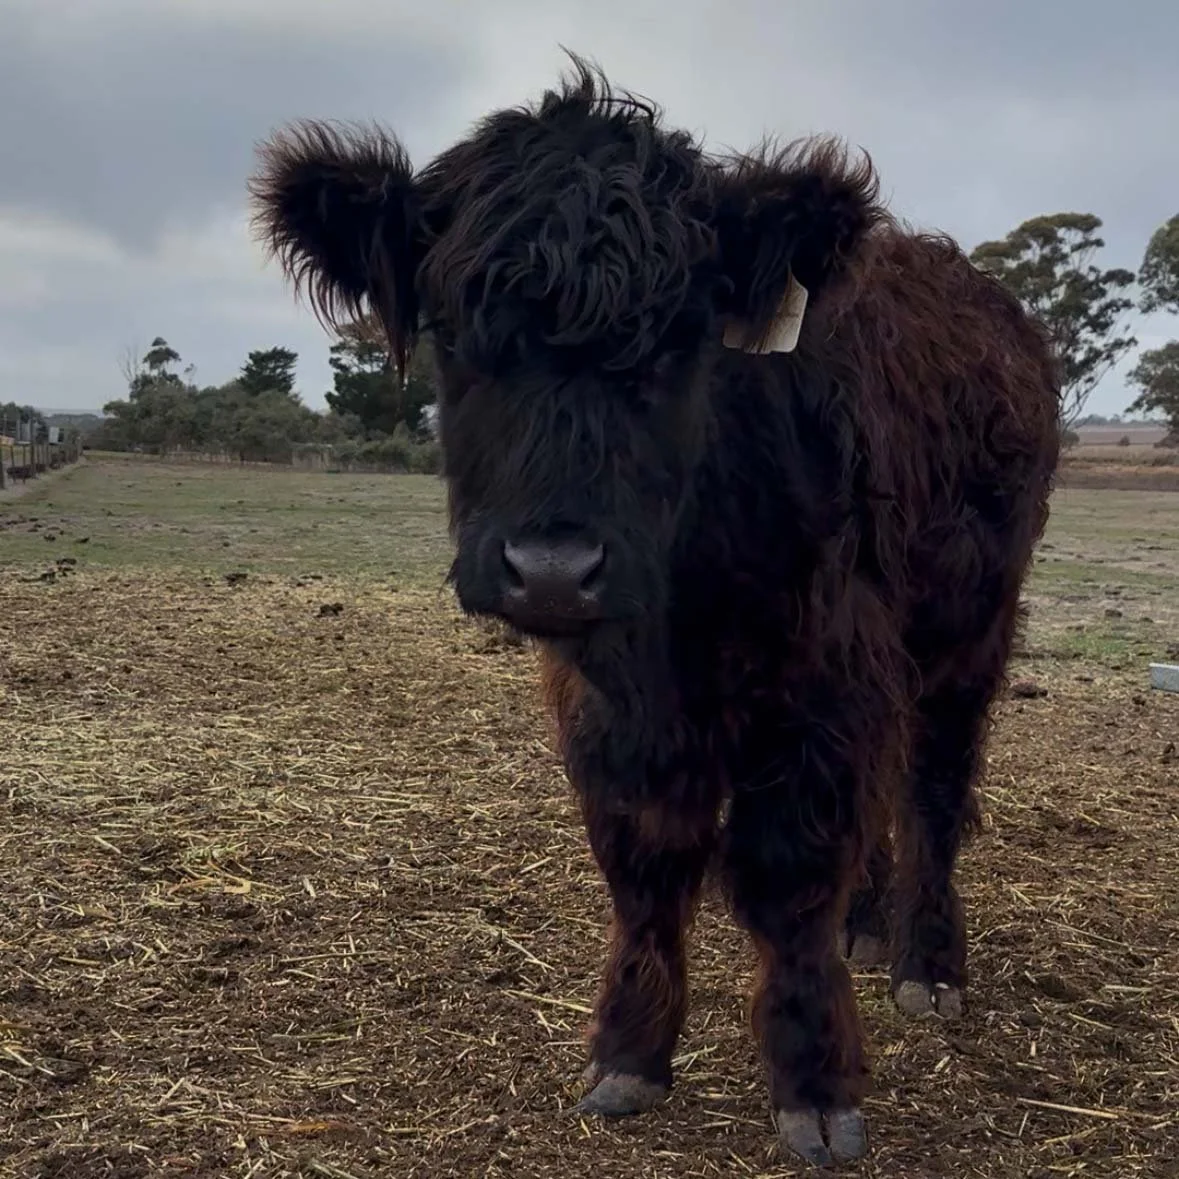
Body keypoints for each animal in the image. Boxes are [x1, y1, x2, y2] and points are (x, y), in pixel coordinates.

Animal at [248, 58, 1061, 1167]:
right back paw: (867, 923)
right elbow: (644, 863)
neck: (681, 613)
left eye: (683, 341)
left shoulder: (825, 673)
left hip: (971, 631)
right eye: (454, 332)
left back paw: (926, 963)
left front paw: (813, 1082)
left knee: (933, 787)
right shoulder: (612, 703)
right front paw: (630, 1052)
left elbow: (786, 869)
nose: (552, 568)